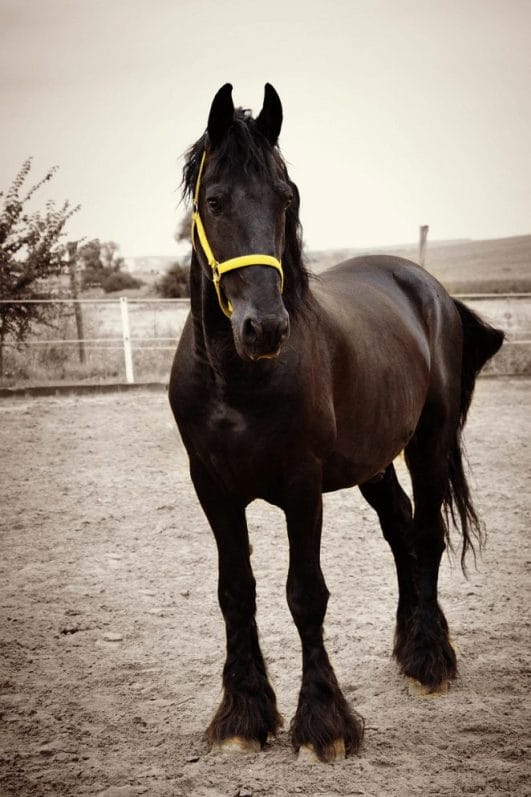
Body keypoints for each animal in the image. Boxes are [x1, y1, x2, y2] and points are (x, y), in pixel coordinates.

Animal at [169, 83, 504, 763]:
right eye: (214, 201)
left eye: (286, 197)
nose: (265, 327)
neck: (234, 381)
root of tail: (426, 286)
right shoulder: (212, 488)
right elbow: (234, 590)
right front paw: (243, 717)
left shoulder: (302, 488)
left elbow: (306, 594)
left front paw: (324, 724)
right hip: (373, 463)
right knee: (402, 532)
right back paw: (408, 645)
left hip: (427, 444)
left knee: (427, 535)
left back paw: (429, 660)